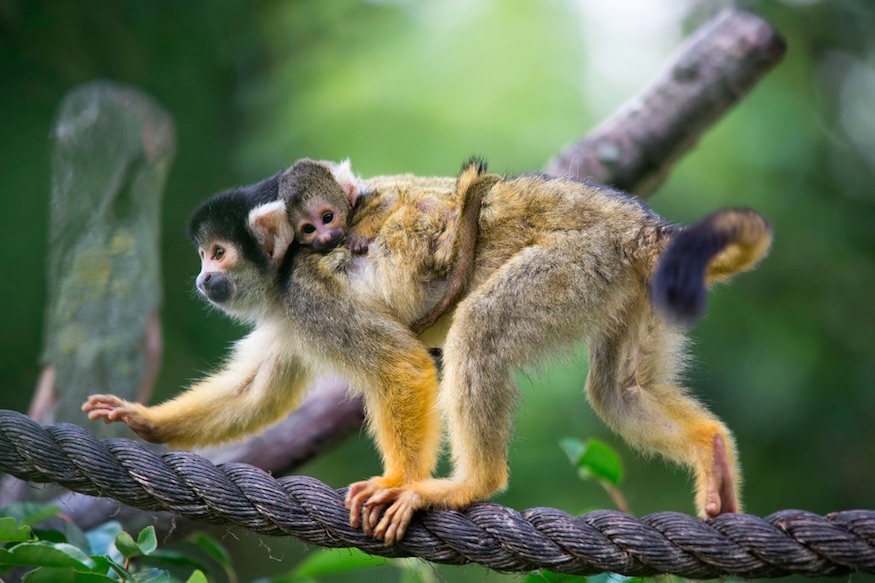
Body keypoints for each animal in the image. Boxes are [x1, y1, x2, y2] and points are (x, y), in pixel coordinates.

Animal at [84, 158, 772, 546]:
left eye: (218, 254)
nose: (203, 278)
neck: (284, 269)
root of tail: (641, 226)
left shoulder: (306, 293)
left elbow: (403, 367)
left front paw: (401, 484)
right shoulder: (287, 309)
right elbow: (262, 391)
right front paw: (142, 420)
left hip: (580, 261)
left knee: (482, 331)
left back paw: (469, 485)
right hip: (633, 282)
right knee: (619, 390)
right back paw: (710, 450)